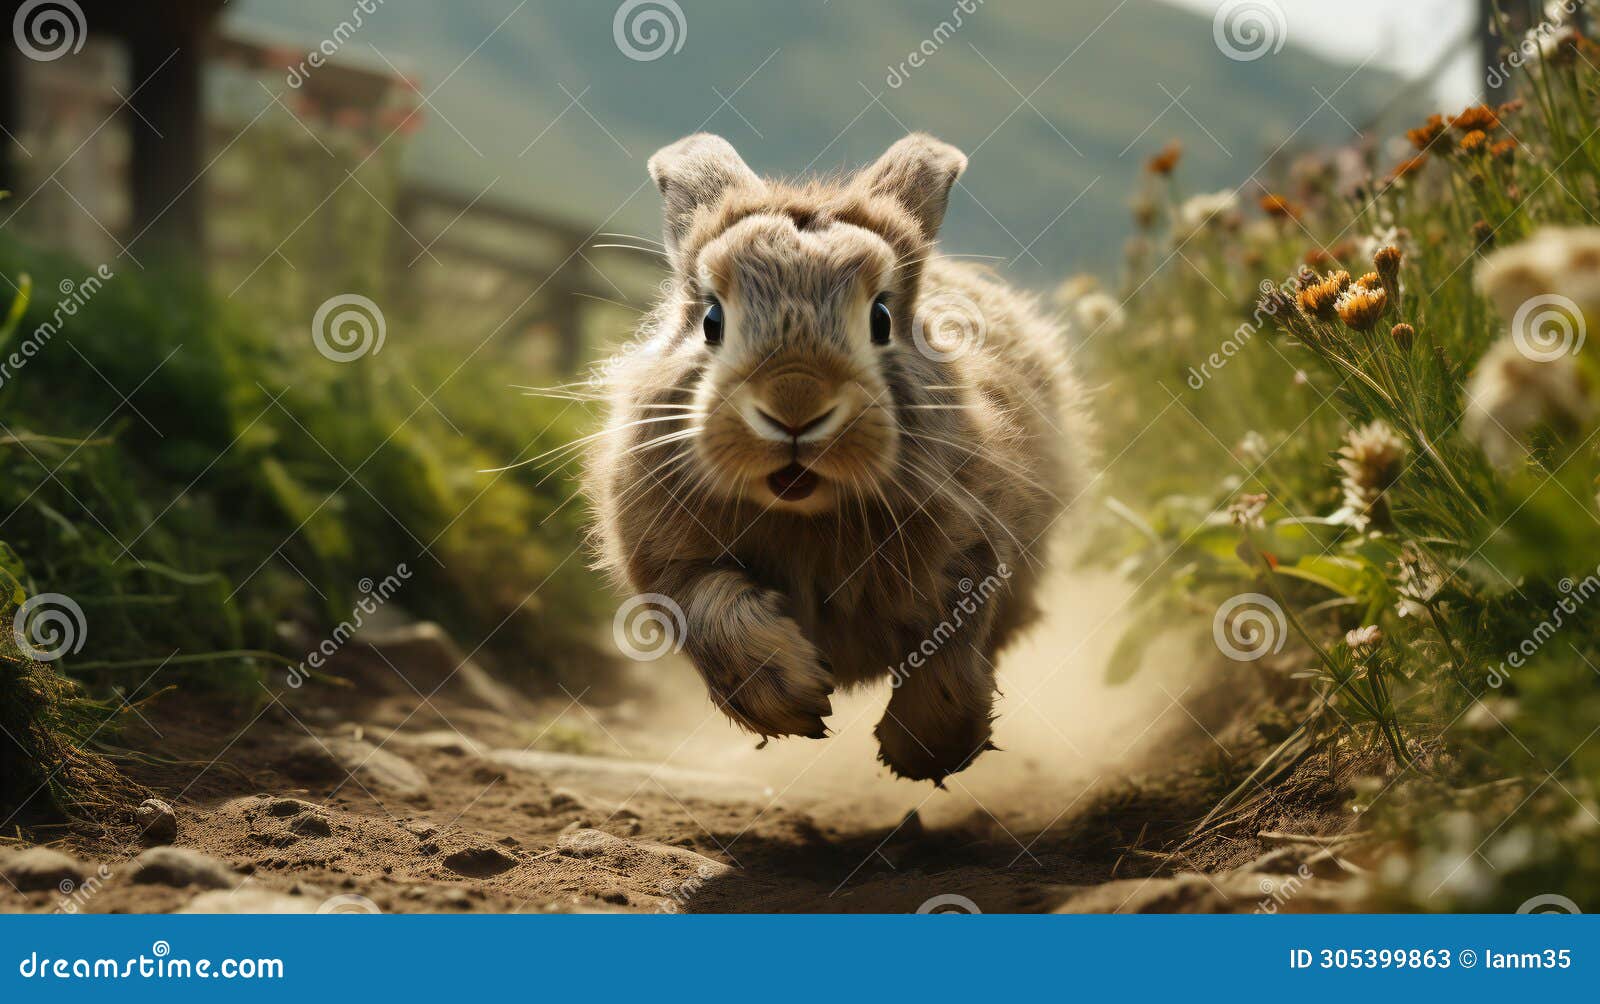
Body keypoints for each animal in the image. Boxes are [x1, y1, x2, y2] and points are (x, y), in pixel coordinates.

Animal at [586, 132, 1089, 783]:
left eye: (881, 318)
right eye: (712, 320)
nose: (795, 404)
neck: (806, 513)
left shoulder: (978, 555)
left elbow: (951, 656)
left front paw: (925, 751)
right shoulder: (673, 568)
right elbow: (713, 612)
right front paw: (791, 696)